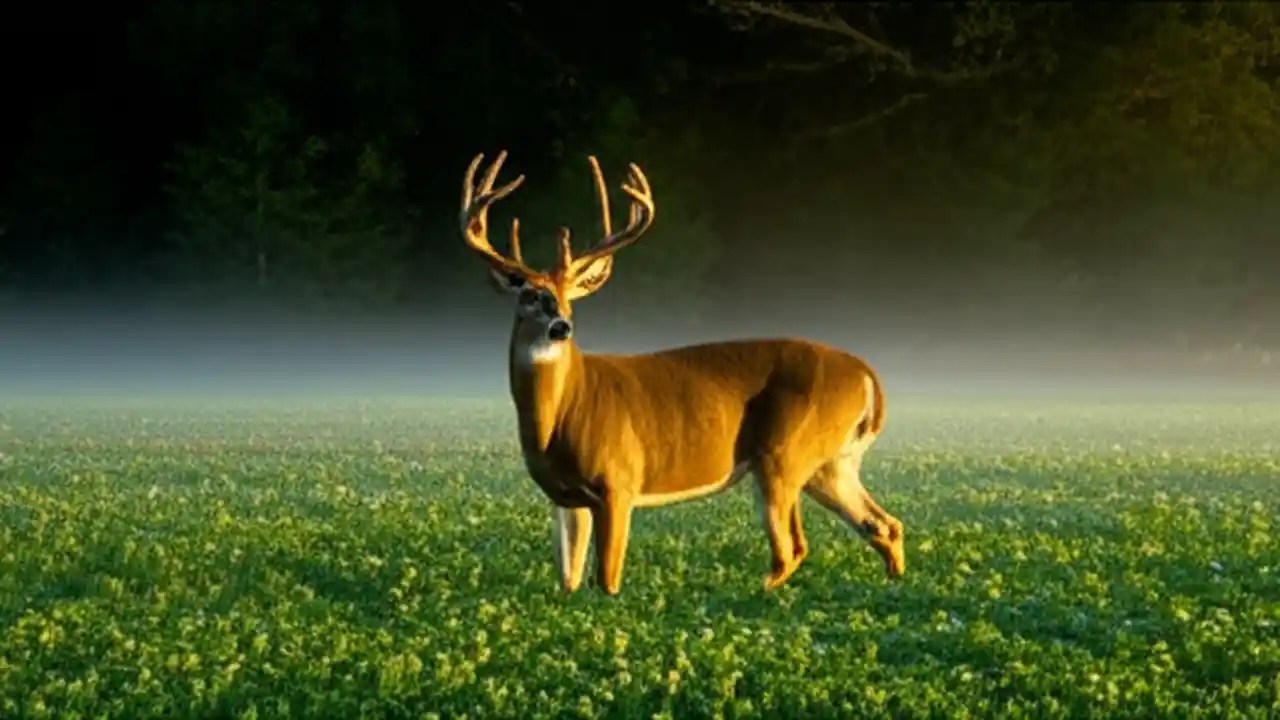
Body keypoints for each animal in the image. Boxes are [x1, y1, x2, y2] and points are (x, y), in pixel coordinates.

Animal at [460, 150, 904, 596]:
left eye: (570, 298)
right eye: (530, 295)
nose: (561, 327)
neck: (556, 417)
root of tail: (867, 375)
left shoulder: (618, 480)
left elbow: (606, 579)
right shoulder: (564, 498)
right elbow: (568, 579)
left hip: (784, 452)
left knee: (793, 547)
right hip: (832, 463)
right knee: (884, 525)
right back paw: (893, 584)